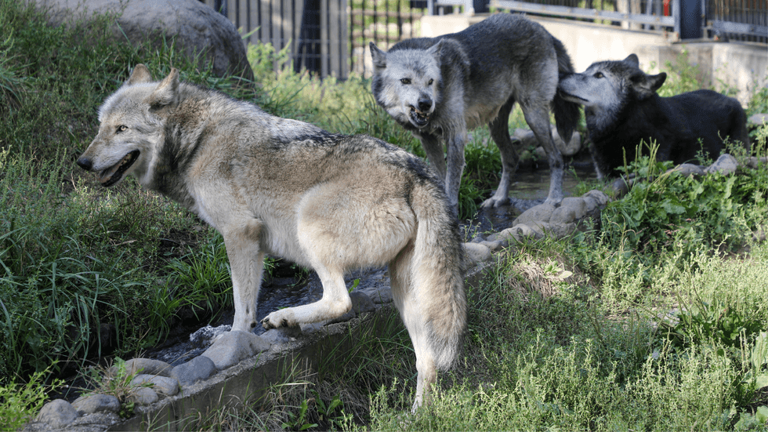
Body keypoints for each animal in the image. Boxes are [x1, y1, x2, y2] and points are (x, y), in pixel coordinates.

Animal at [76, 64, 466, 411]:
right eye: (101, 127)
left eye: (121, 128)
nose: (82, 162)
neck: (197, 141)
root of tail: (418, 175)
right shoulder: (255, 244)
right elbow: (245, 300)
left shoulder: (240, 233)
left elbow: (241, 306)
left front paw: (234, 339)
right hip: (408, 296)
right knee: (426, 362)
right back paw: (416, 413)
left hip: (308, 226)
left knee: (341, 302)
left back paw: (284, 317)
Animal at [370, 13, 581, 211]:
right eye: (405, 80)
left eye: (430, 81)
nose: (426, 103)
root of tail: (544, 30)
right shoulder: (428, 139)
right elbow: (440, 178)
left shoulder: (455, 136)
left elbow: (451, 187)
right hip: (496, 127)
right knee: (511, 159)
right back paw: (499, 198)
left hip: (533, 115)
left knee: (556, 157)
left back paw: (554, 199)